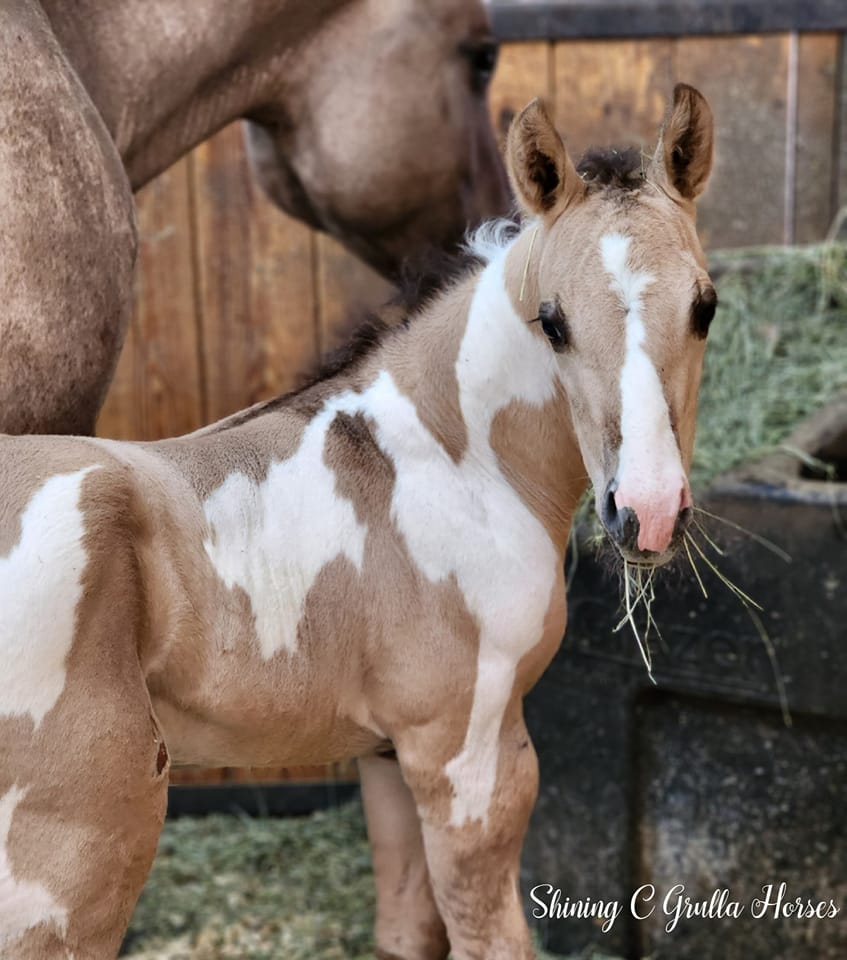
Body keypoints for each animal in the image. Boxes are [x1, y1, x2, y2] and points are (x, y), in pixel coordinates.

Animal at [0, 85, 715, 959]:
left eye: (705, 307)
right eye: (552, 322)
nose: (647, 512)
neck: (449, 457)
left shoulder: (385, 754)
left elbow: (407, 926)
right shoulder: (467, 755)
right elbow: (487, 934)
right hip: (73, 856)